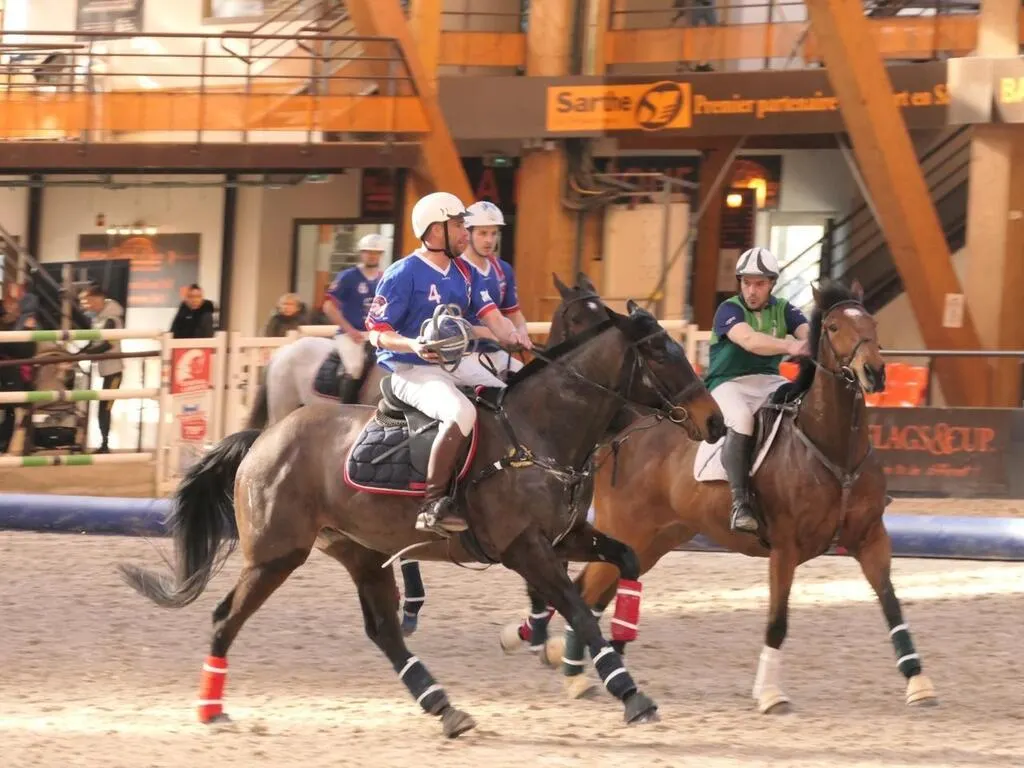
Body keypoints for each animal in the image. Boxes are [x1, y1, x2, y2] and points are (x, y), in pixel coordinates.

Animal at [117, 298, 727, 737]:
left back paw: (443, 705)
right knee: (226, 618)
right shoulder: (526, 548)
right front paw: (629, 691)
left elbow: (624, 561)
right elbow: (578, 608)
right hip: (276, 556)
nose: (715, 422)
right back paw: (209, 709)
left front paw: (615, 642)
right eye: (662, 354)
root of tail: (263, 439)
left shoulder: (566, 537)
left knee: (384, 630)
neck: (540, 433)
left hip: (361, 552)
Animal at [515, 279, 939, 714]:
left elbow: (891, 603)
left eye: (871, 323)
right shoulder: (785, 548)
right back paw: (573, 672)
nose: (873, 373)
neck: (834, 449)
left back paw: (574, 666)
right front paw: (770, 693)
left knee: (596, 589)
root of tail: (621, 436)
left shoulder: (871, 538)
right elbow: (778, 621)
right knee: (585, 590)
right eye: (835, 327)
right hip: (630, 530)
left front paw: (917, 680)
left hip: (654, 541)